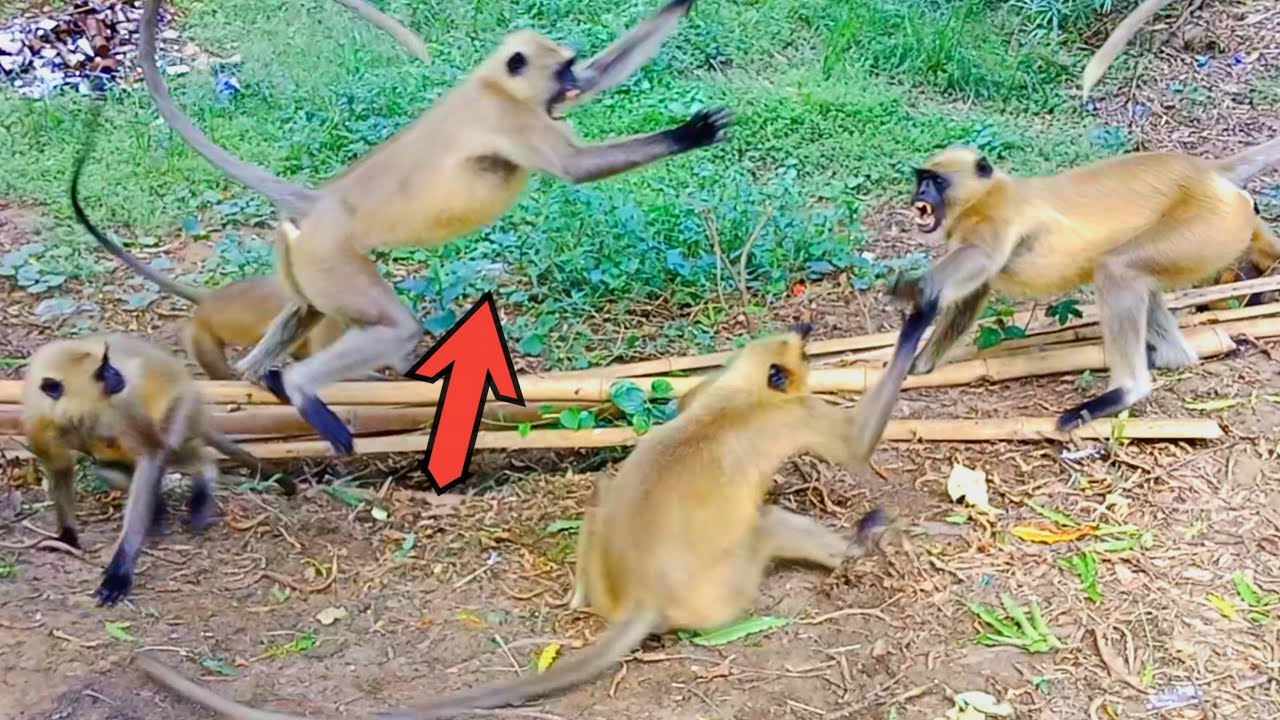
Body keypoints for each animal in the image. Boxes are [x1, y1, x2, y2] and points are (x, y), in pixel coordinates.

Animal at [21, 334, 281, 606]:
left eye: (107, 366)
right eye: (102, 372)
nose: (116, 374)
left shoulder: (120, 408)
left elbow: (152, 454)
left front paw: (120, 570)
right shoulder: (40, 422)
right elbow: (59, 468)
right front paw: (68, 536)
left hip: (179, 406)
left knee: (171, 449)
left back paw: (203, 478)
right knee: (105, 464)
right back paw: (159, 508)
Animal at [134, 324, 888, 719]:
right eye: (798, 354)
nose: (809, 333)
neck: (739, 398)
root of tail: (640, 602)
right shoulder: (790, 414)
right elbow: (855, 446)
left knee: (601, 495)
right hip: (728, 586)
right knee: (768, 526)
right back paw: (855, 549)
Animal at [138, 0, 735, 455]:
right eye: (561, 70)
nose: (569, 82)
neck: (490, 84)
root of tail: (322, 201)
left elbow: (605, 80)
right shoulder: (510, 118)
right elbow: (576, 170)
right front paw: (689, 133)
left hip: (305, 263)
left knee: (300, 314)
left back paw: (262, 377)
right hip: (334, 257)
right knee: (396, 329)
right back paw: (303, 390)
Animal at [843, 139, 1280, 452]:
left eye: (936, 181)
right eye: (921, 179)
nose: (920, 192)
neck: (989, 194)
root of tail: (1205, 171)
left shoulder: (995, 220)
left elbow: (955, 279)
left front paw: (914, 301)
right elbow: (972, 293)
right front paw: (917, 366)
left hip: (1209, 225)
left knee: (1117, 269)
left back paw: (1127, 390)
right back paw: (1170, 357)